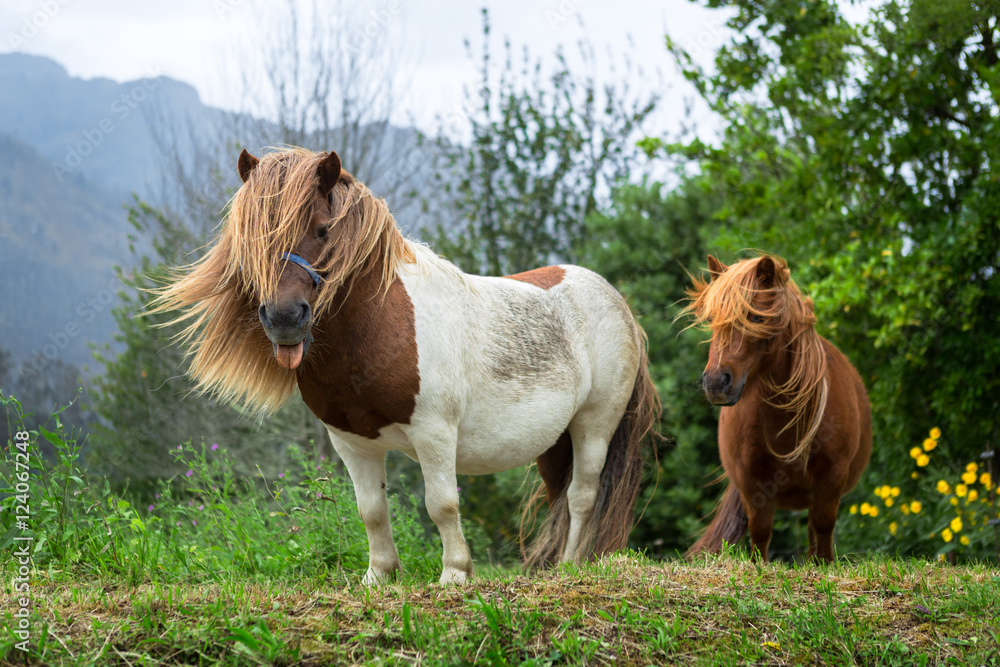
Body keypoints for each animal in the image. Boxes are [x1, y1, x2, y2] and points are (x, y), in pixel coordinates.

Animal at [152, 147, 661, 584]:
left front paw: (455, 574)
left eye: (323, 230)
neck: (379, 327)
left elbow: (441, 505)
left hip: (594, 426)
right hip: (554, 442)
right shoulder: (352, 444)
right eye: (250, 237)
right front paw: (379, 576)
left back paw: (572, 566)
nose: (284, 320)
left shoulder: (434, 433)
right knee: (561, 496)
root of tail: (616, 301)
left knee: (582, 496)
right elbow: (371, 510)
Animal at [682, 254, 871, 563]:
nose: (715, 383)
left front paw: (824, 565)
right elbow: (760, 531)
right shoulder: (751, 481)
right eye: (711, 320)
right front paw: (759, 566)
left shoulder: (832, 477)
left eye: (757, 317)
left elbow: (823, 526)